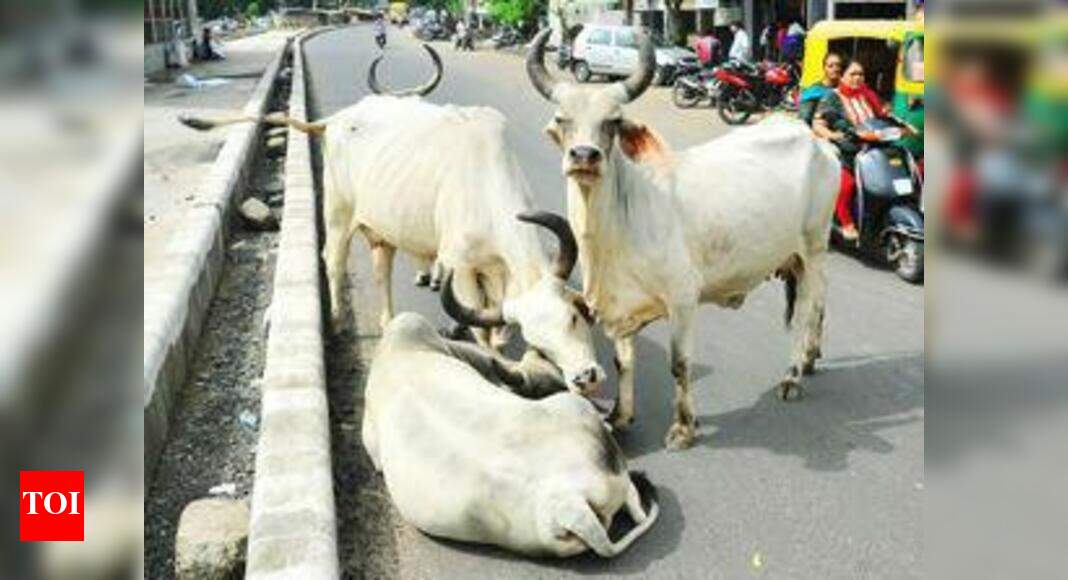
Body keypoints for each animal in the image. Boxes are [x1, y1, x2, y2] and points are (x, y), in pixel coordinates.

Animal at [180, 45, 606, 393]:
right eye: (539, 341)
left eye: (574, 317)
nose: (586, 377)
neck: (486, 179)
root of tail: (339, 117)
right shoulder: (461, 269)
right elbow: (480, 329)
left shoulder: (496, 272)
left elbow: (496, 316)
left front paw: (500, 339)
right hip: (337, 211)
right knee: (333, 260)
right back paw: (336, 321)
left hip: (381, 229)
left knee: (381, 269)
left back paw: (387, 322)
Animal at [525, 30, 841, 450]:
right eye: (562, 120)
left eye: (612, 122)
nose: (584, 156)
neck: (617, 229)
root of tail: (815, 139)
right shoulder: (620, 311)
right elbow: (622, 362)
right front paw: (620, 415)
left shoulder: (682, 298)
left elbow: (678, 364)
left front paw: (683, 428)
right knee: (820, 302)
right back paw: (809, 357)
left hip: (814, 247)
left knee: (808, 307)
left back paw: (792, 376)